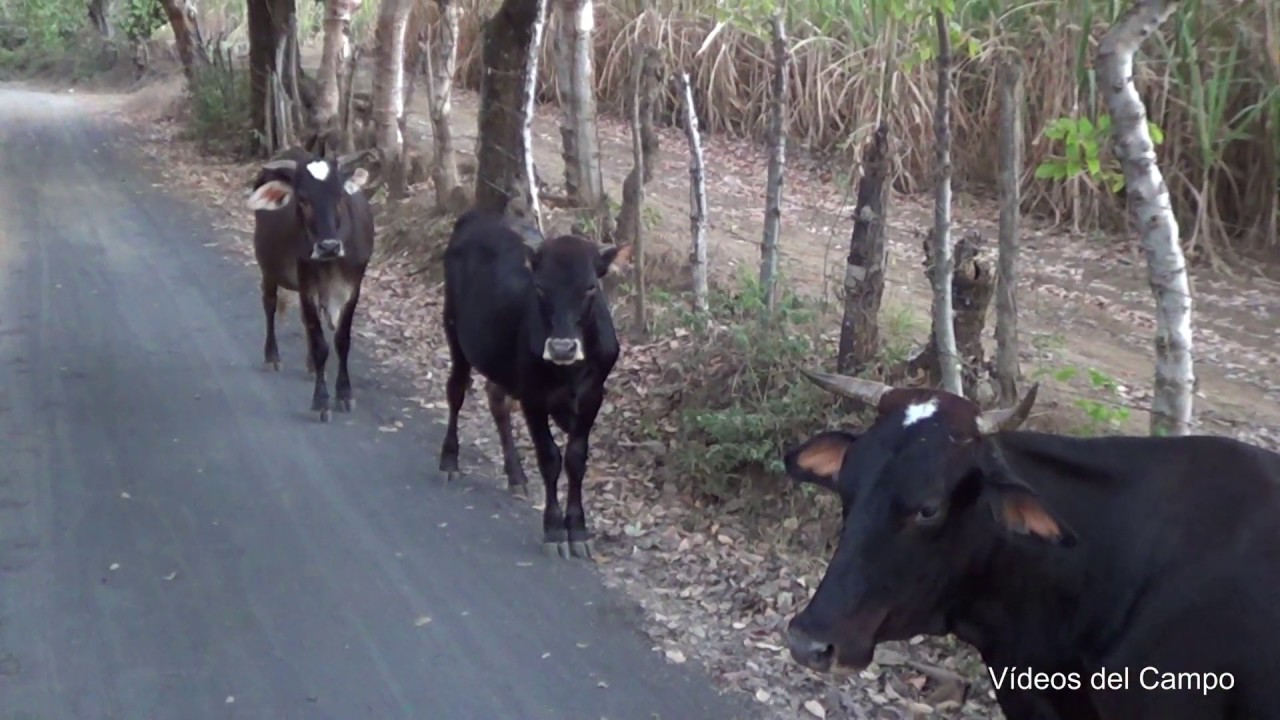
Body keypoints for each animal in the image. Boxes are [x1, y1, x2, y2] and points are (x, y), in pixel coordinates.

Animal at [245, 146, 375, 422]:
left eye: (339, 196)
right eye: (303, 199)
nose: (328, 246)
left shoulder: (354, 287)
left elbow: (342, 341)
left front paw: (344, 393)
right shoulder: (306, 284)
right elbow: (319, 344)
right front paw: (322, 400)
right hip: (269, 270)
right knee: (270, 305)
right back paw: (272, 356)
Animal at [438, 209, 626, 560]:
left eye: (590, 287)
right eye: (540, 287)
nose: (562, 348)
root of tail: (477, 216)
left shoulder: (592, 396)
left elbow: (576, 459)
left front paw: (578, 530)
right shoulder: (534, 397)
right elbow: (549, 458)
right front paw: (553, 529)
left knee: (496, 401)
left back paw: (515, 475)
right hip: (454, 331)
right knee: (456, 390)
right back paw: (449, 459)